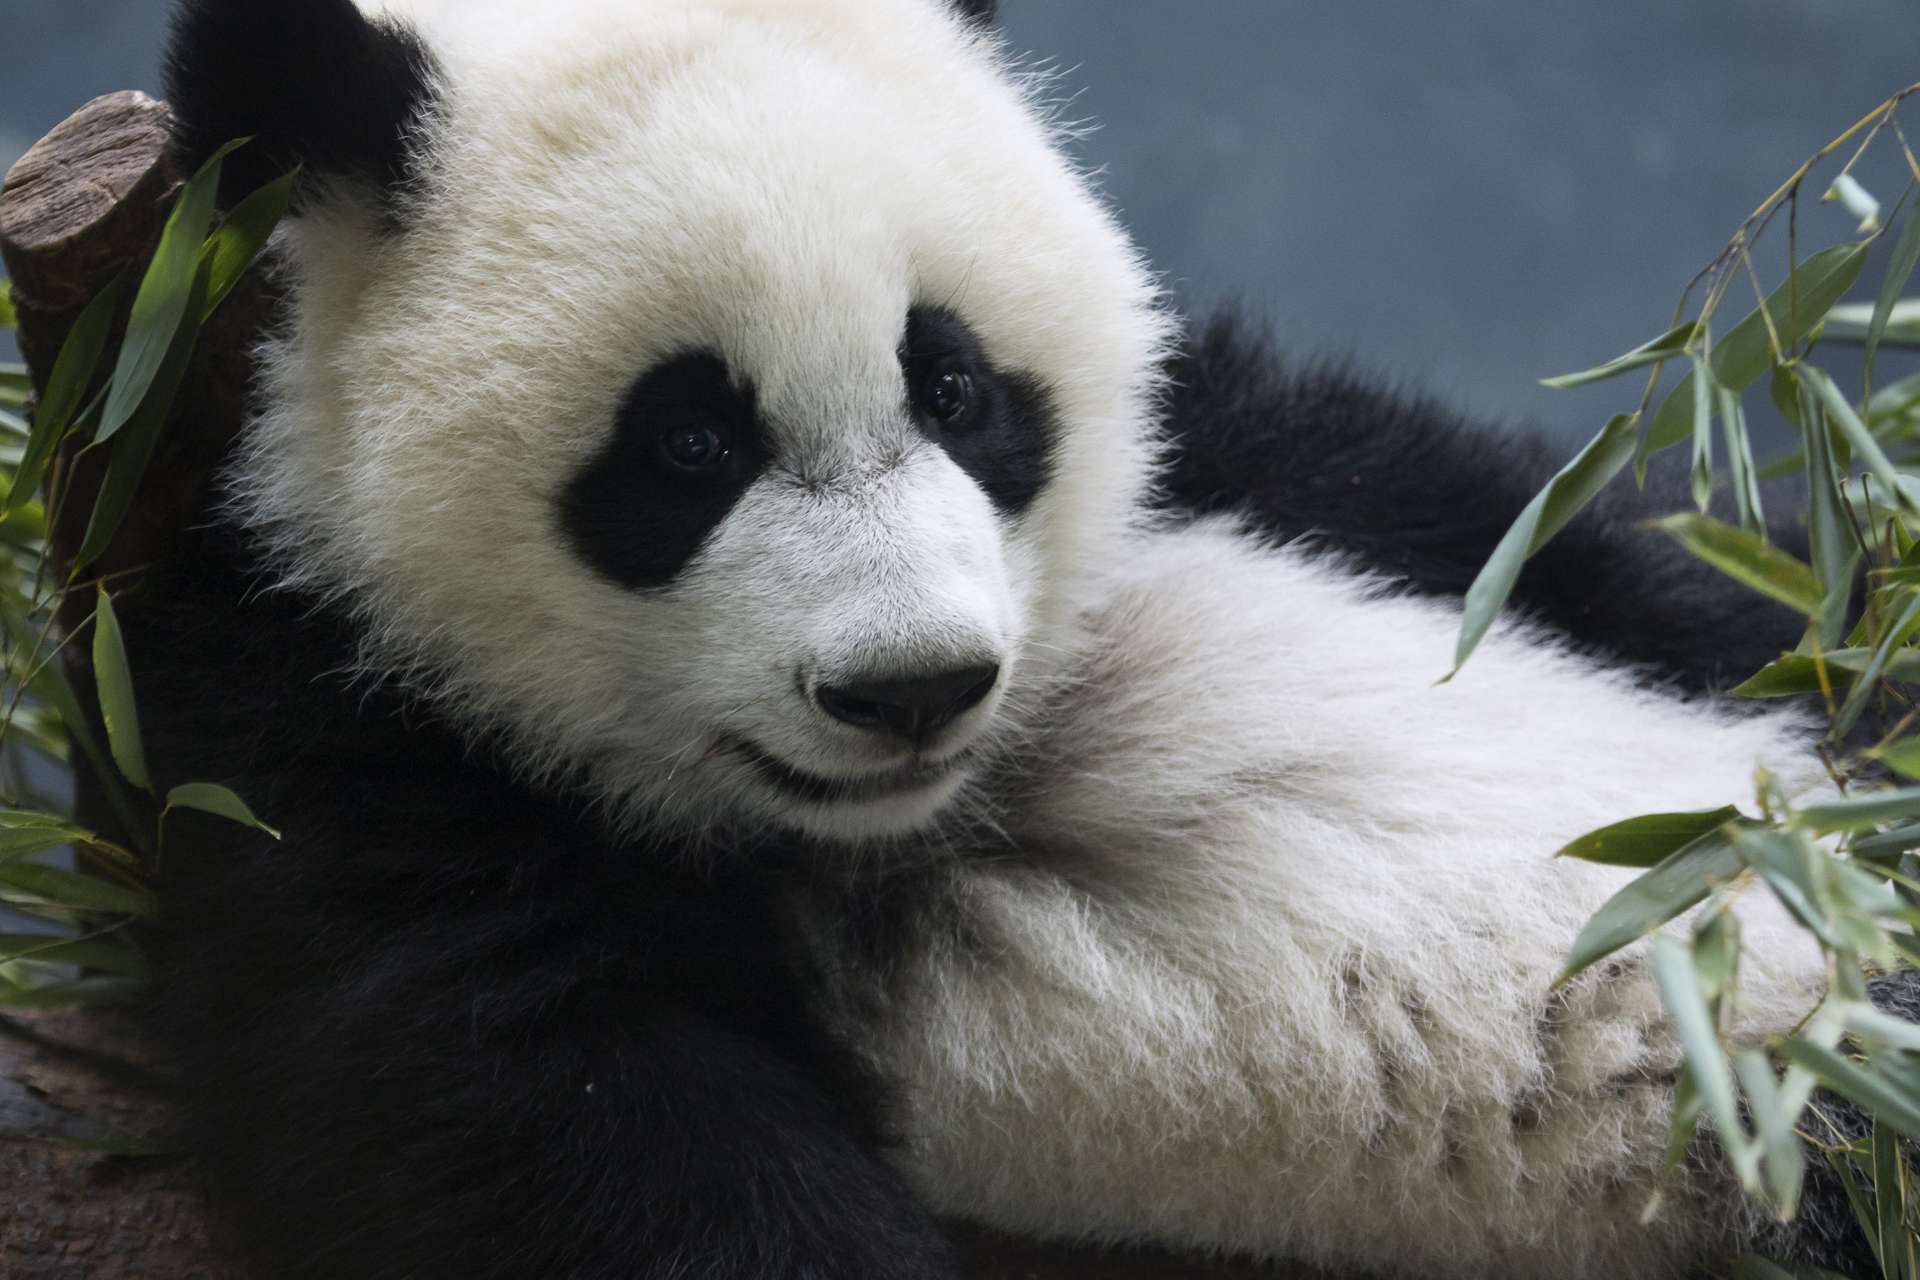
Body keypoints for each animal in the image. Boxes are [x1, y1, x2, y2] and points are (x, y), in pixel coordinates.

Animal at [128, 0, 1879, 1277]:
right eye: (687, 445)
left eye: (957, 388)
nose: (915, 688)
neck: (901, 825)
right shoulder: (348, 746)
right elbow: (561, 1108)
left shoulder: (1267, 458)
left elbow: (1595, 549)